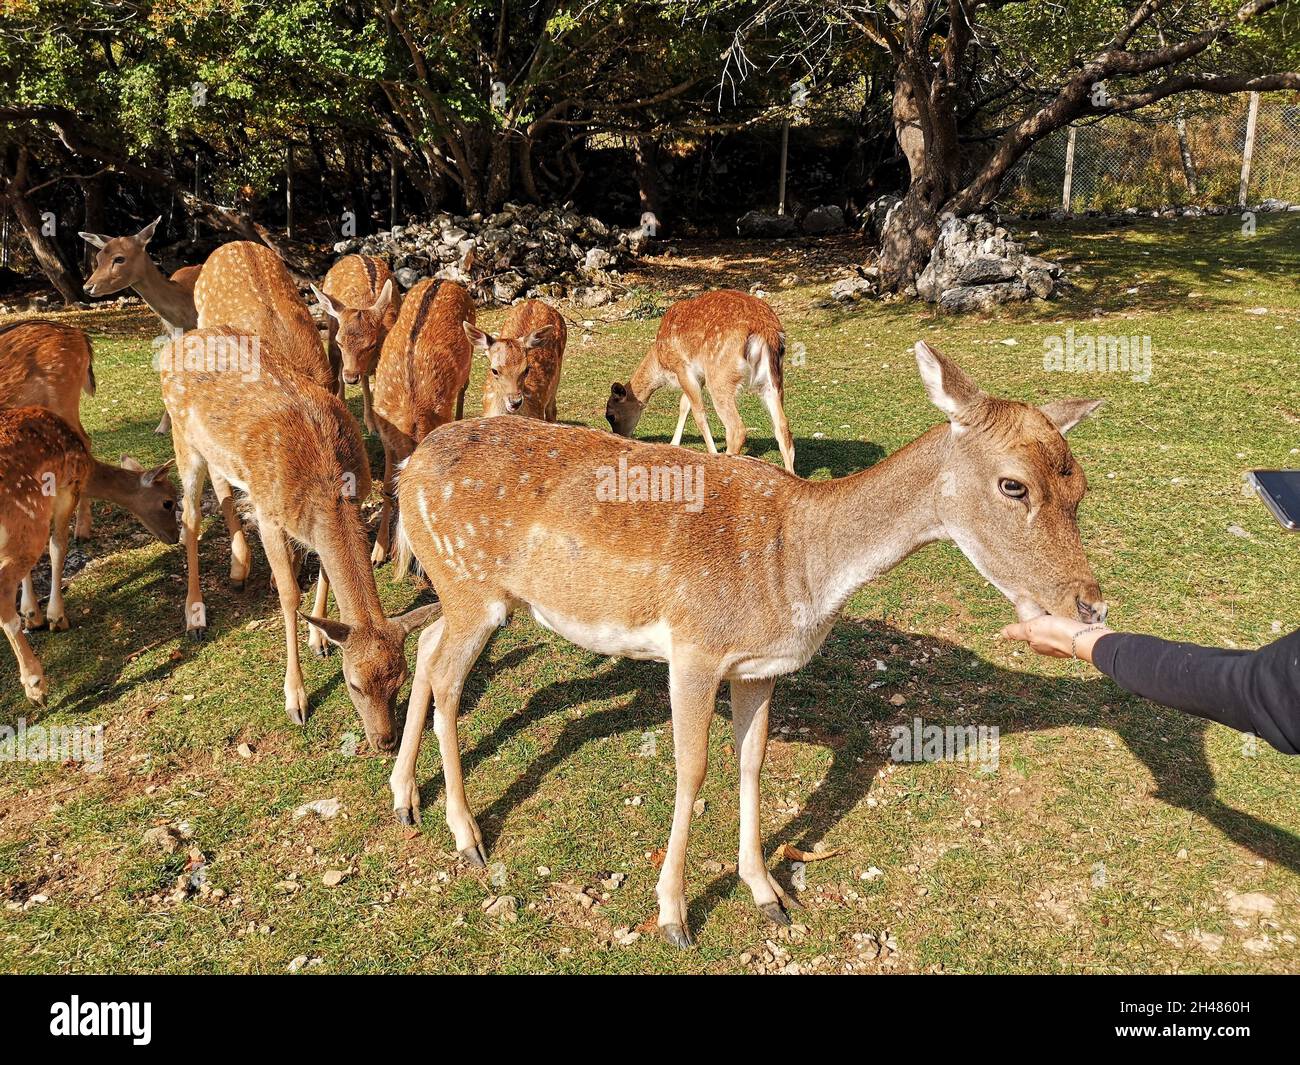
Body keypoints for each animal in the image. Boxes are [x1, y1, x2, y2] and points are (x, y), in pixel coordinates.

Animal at [0, 320, 179, 630]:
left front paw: (37, 614)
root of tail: (81, 337)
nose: (176, 536)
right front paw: (38, 615)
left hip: (64, 394)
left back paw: (82, 530)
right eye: (168, 502)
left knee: (87, 438)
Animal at [0, 406, 90, 703]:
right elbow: (58, 546)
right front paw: (56, 617)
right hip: (30, 519)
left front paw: (33, 613)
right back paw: (35, 684)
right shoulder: (68, 486)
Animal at [389, 341, 1107, 947]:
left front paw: (767, 893)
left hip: (471, 595)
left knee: (426, 647)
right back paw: (466, 835)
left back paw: (404, 798)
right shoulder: (695, 647)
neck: (799, 568)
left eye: (1080, 486)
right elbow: (692, 768)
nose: (1092, 603)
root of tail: (405, 469)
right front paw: (673, 915)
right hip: (470, 582)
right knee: (448, 677)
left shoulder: (759, 667)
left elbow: (752, 761)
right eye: (1014, 484)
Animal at [606, 289, 796, 474]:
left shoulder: (682, 368)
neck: (660, 363)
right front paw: (673, 444)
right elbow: (685, 404)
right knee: (782, 426)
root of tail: (766, 330)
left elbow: (698, 413)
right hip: (773, 379)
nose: (620, 436)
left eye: (610, 415)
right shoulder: (699, 376)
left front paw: (710, 452)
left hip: (720, 376)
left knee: (736, 429)